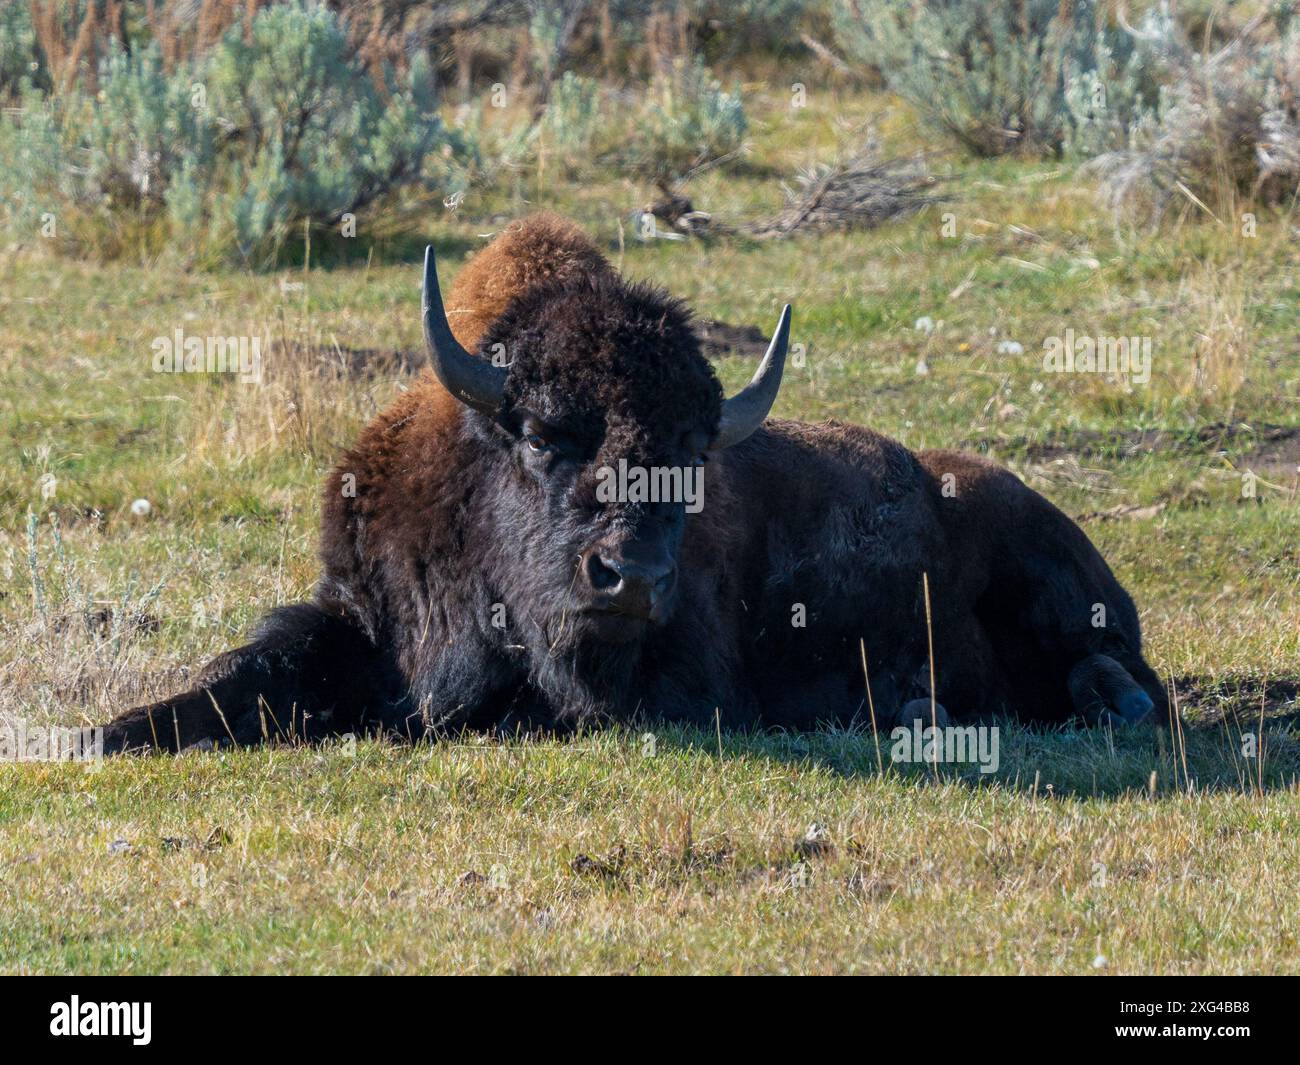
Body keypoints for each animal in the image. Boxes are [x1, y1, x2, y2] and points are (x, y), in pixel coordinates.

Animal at [103, 213, 1165, 752]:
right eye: (540, 434)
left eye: (692, 455)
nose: (633, 579)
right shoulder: (353, 609)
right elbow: (246, 673)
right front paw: (105, 733)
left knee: (1119, 675)